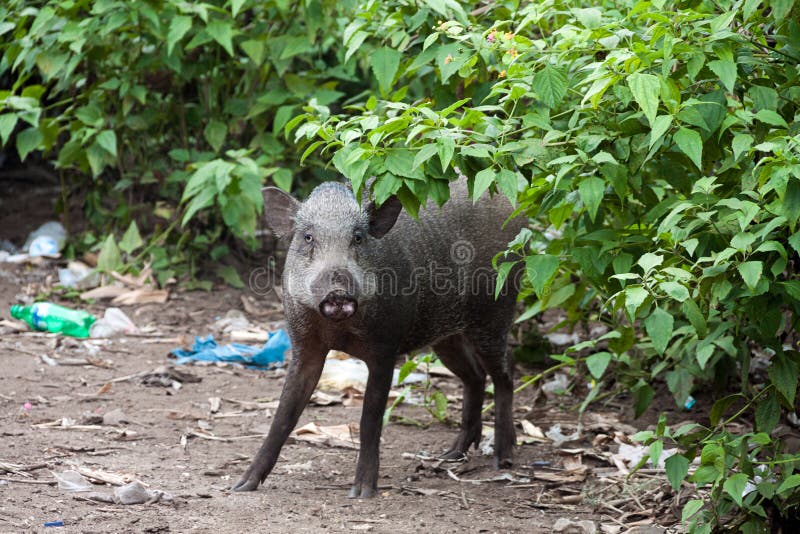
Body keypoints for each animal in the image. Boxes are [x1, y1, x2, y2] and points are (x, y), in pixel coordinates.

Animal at [232, 178, 524, 497]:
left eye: (358, 238)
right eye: (308, 237)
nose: (338, 293)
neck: (340, 330)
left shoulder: (385, 350)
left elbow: (369, 421)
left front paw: (362, 493)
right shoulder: (304, 347)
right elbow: (283, 416)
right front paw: (241, 486)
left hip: (495, 311)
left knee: (506, 372)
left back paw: (503, 458)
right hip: (445, 336)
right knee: (475, 376)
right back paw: (451, 454)